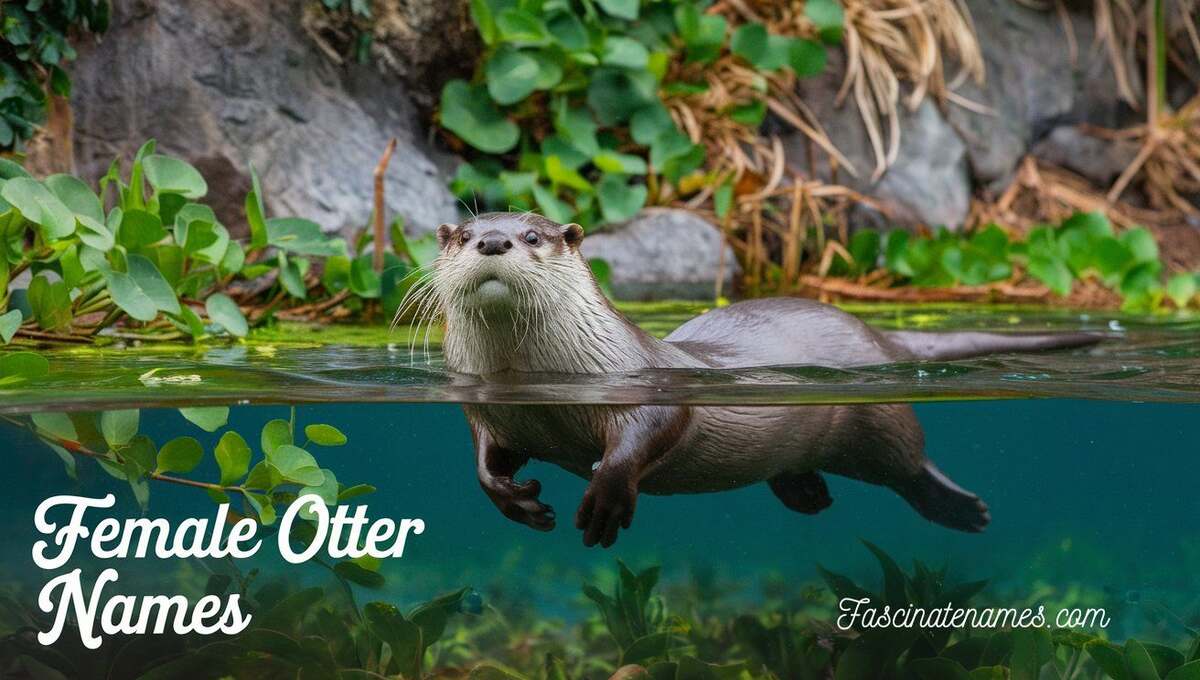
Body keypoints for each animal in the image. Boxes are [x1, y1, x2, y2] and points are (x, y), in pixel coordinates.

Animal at [417, 212, 1099, 548]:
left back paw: (960, 510)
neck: (539, 383)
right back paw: (808, 494)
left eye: (533, 235)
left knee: (910, 461)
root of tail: (880, 334)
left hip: (879, 421)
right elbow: (486, 459)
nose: (494, 242)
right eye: (465, 235)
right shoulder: (490, 411)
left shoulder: (650, 387)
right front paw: (517, 501)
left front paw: (605, 501)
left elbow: (648, 436)